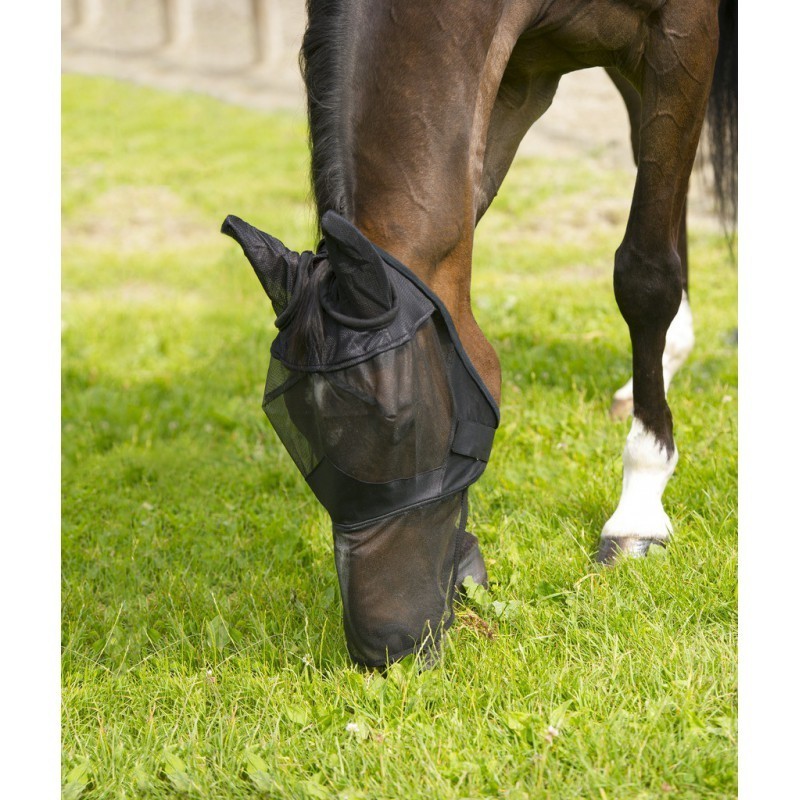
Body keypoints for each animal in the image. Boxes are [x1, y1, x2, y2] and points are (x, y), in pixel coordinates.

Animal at [224, 0, 736, 664]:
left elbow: (645, 275)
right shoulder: (519, 75)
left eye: (403, 426)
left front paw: (639, 507)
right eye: (293, 432)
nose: (385, 650)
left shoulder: (681, 31)